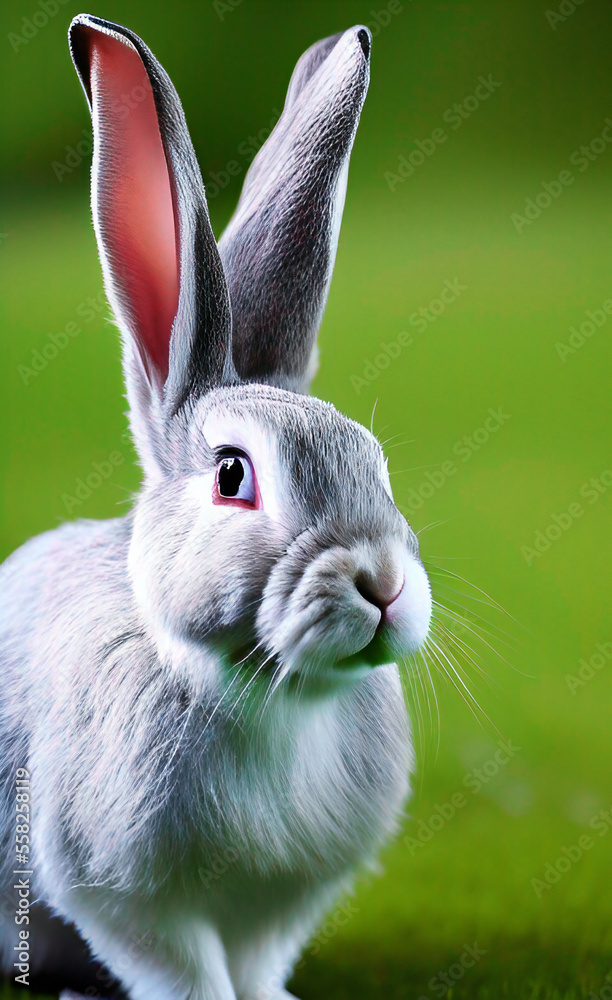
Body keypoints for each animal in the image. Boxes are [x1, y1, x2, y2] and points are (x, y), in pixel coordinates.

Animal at [0, 13, 433, 1000]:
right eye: (234, 476)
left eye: (376, 462)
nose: (383, 584)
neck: (274, 695)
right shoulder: (118, 891)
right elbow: (184, 969)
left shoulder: (286, 899)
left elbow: (259, 959)